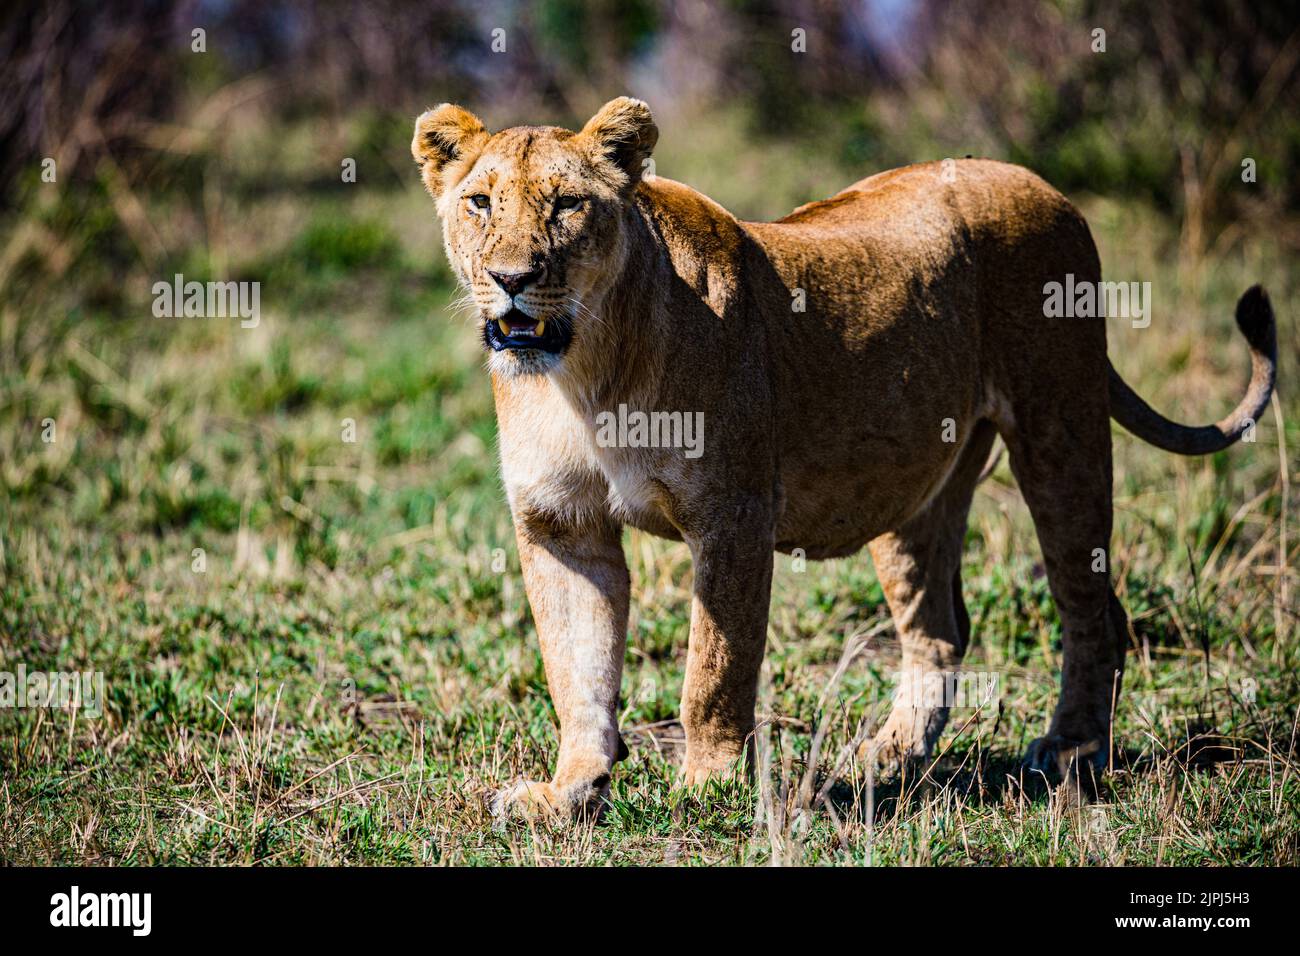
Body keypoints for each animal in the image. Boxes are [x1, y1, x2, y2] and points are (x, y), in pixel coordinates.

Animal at [411, 97, 1277, 819]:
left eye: (568, 205)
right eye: (480, 203)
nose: (512, 279)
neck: (581, 372)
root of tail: (1038, 182)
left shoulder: (732, 516)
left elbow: (714, 671)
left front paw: (707, 787)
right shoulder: (561, 526)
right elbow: (577, 671)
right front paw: (567, 791)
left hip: (1059, 425)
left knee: (1090, 605)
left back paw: (1071, 749)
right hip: (912, 486)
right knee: (939, 628)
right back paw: (885, 760)